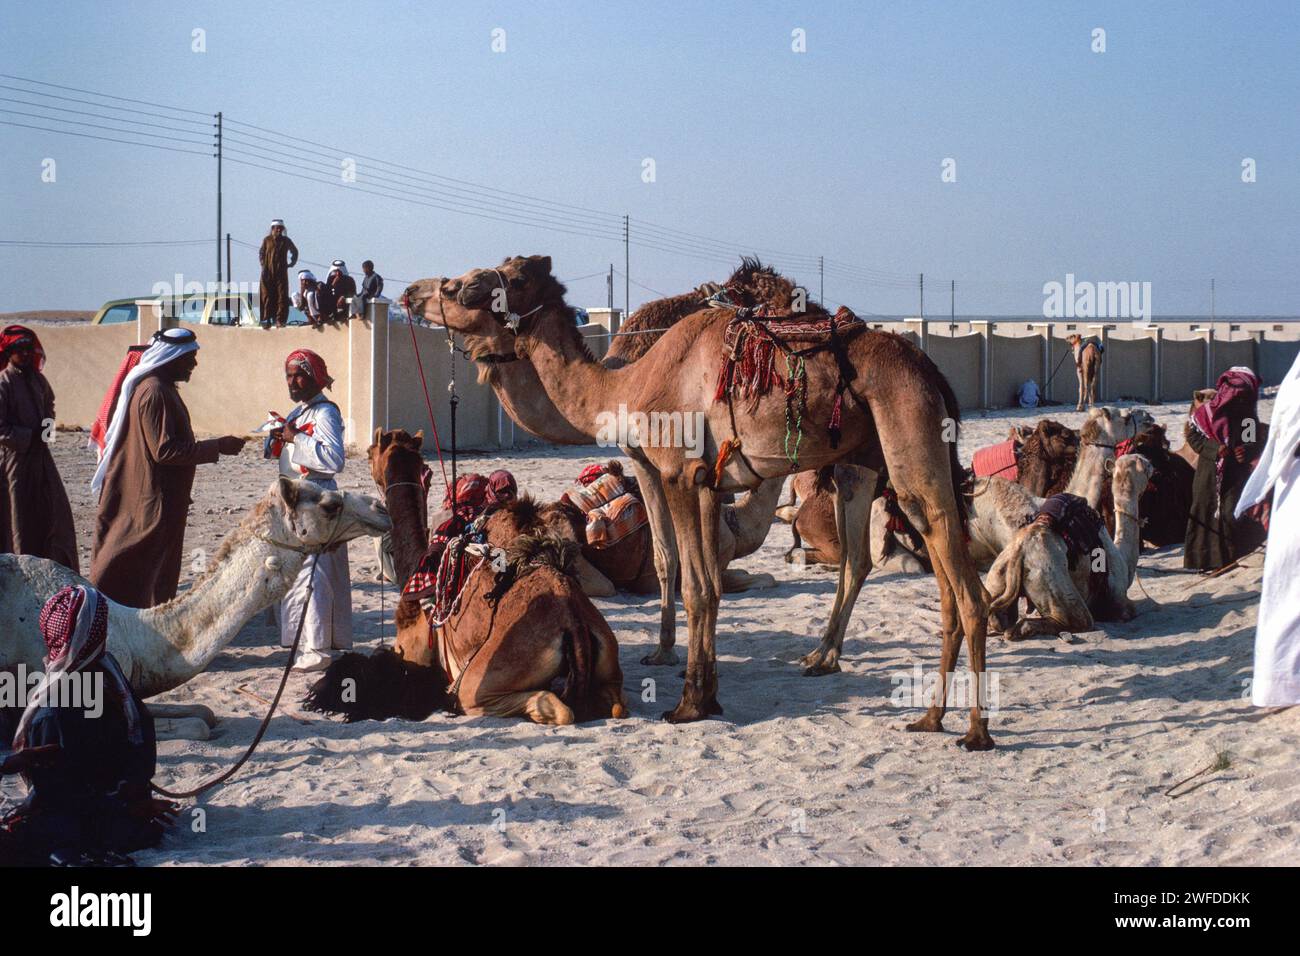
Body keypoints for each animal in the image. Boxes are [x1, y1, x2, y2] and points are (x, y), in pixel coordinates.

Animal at [303, 428, 628, 725]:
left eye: (372, 452)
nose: (363, 456)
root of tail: (574, 624)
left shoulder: (413, 648)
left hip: (485, 678)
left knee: (542, 706)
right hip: (609, 665)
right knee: (614, 704)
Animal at [415, 255, 993, 749]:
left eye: (468, 285)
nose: (411, 293)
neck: (627, 383)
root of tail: (930, 371)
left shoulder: (674, 471)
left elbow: (690, 580)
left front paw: (689, 700)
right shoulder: (709, 482)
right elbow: (710, 580)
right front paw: (705, 689)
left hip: (908, 436)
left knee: (964, 586)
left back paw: (973, 730)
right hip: (865, 461)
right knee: (890, 566)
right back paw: (901, 700)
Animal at [985, 454, 1152, 641]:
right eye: (1145, 464)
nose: (1151, 464)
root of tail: (1018, 554)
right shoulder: (1118, 599)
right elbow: (1128, 610)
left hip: (997, 574)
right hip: (1048, 575)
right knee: (1078, 620)